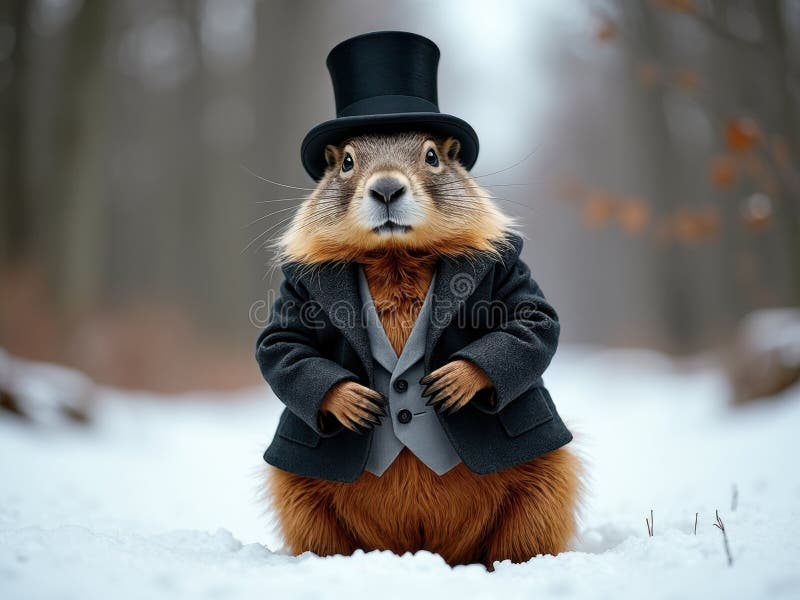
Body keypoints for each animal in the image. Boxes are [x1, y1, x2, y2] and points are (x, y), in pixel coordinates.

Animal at [259, 131, 581, 568]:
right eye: (345, 161)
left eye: (432, 155)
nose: (386, 188)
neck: (395, 255)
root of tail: (426, 548)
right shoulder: (295, 292)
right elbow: (282, 345)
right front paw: (352, 401)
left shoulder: (509, 271)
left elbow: (532, 320)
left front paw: (453, 382)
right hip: (300, 497)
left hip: (544, 487)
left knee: (522, 537)